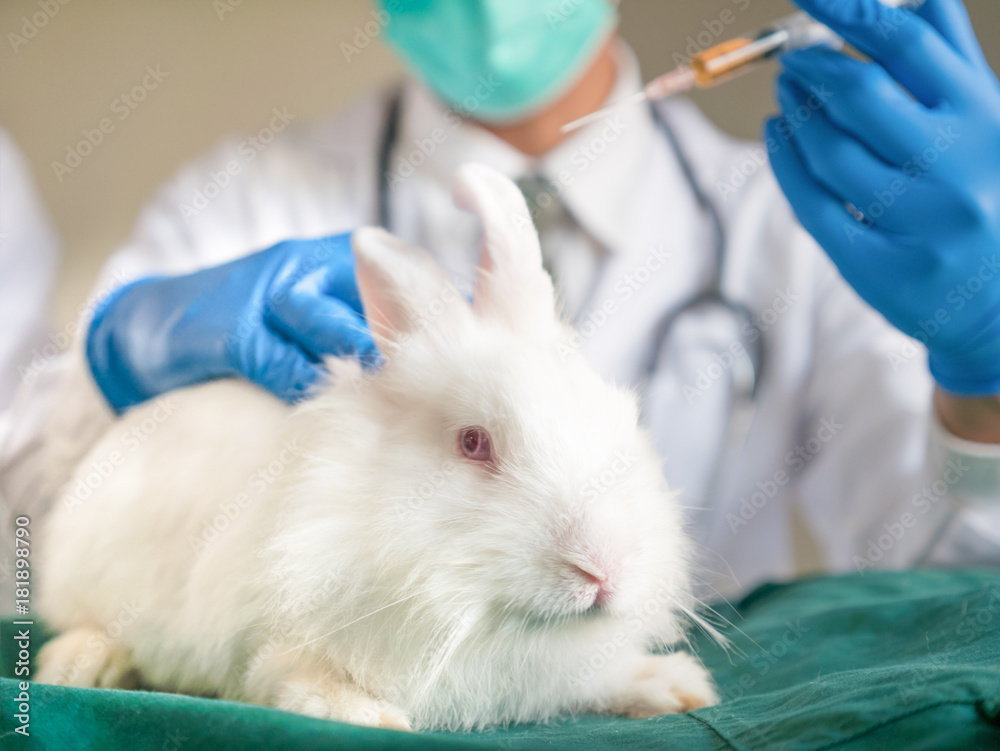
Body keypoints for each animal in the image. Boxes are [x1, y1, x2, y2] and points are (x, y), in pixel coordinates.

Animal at [35, 163, 719, 731]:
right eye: (474, 443)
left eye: (622, 417)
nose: (605, 569)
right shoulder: (272, 639)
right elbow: (293, 680)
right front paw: (375, 719)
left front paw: (677, 686)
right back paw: (80, 664)